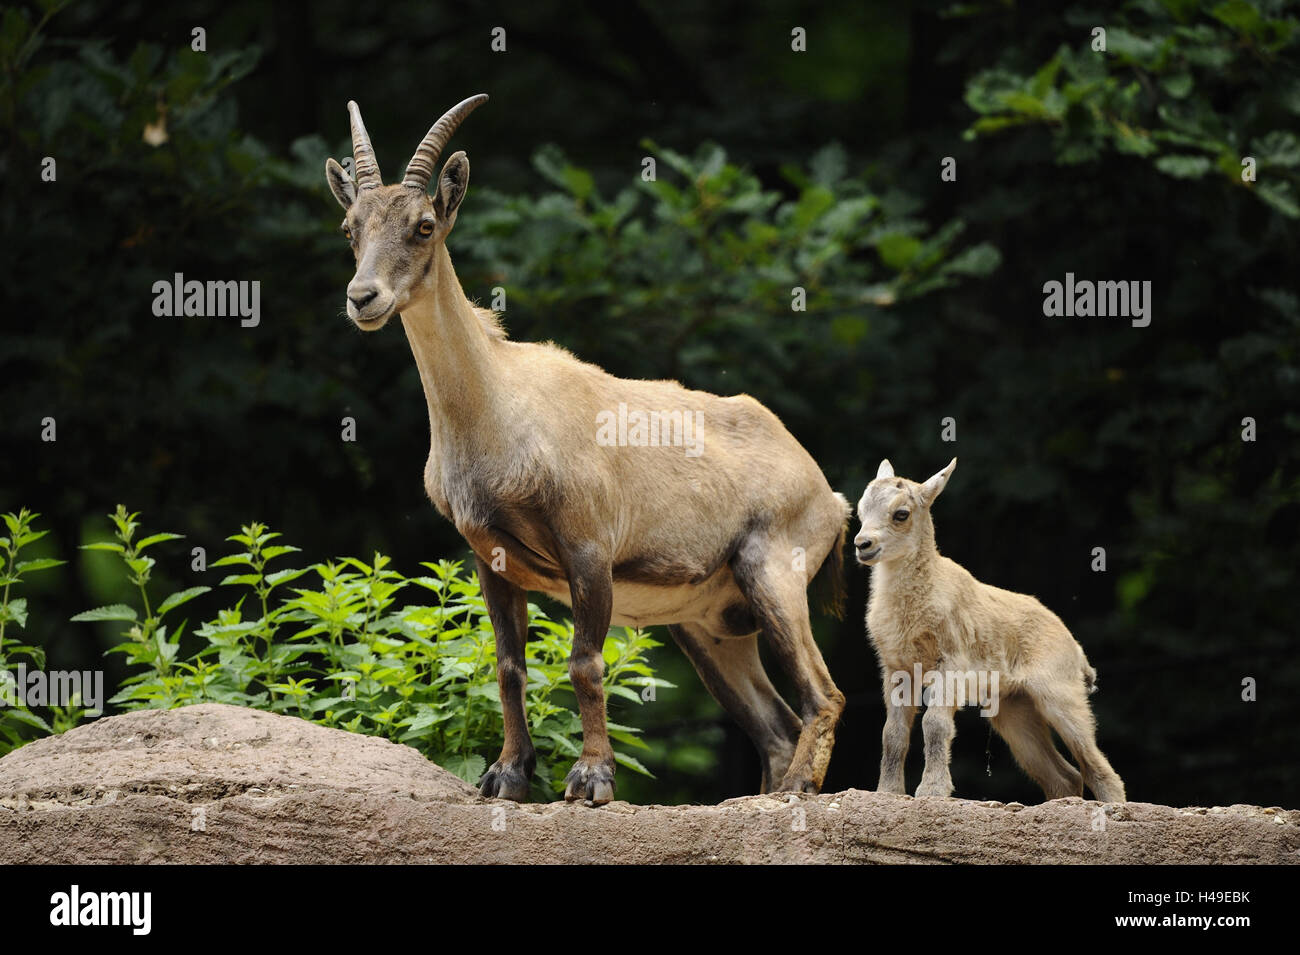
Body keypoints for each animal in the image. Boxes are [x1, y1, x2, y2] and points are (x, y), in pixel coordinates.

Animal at [323, 95, 849, 804]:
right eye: (351, 227)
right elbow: (509, 667)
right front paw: (506, 776)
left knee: (824, 695)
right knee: (775, 725)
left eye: (424, 225)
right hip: (709, 624)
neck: (498, 409)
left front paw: (592, 779)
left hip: (775, 569)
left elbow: (585, 663)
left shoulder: (590, 547)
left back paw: (795, 791)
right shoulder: (490, 560)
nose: (364, 298)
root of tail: (828, 494)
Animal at [853, 458, 1126, 803]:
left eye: (901, 513)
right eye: (861, 510)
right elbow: (893, 733)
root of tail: (1076, 650)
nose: (863, 545)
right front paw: (887, 793)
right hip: (1014, 709)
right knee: (1065, 776)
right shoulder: (896, 668)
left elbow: (935, 724)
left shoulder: (950, 662)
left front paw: (933, 791)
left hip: (1059, 695)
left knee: (1096, 767)